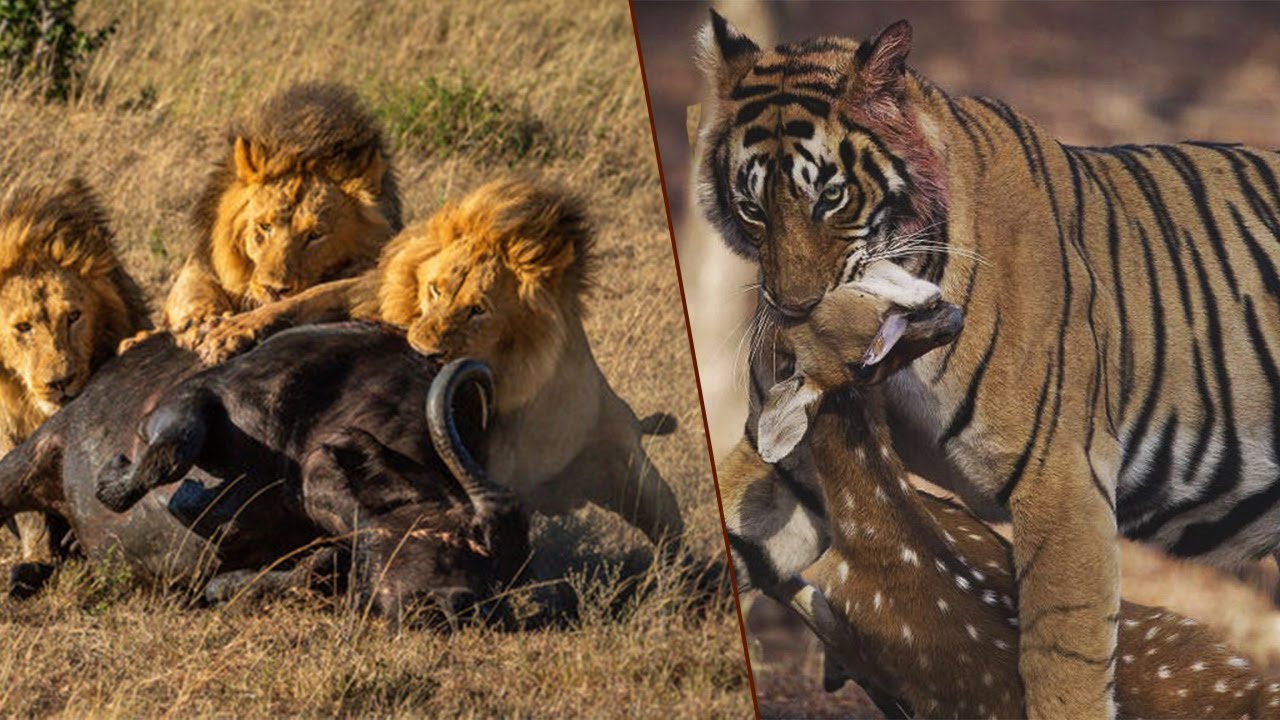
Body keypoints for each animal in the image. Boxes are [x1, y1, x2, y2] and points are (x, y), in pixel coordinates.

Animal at [157, 82, 401, 345]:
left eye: (315, 235)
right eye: (265, 226)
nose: (274, 290)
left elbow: (316, 293)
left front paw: (235, 329)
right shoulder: (201, 260)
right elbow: (194, 288)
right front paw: (199, 322)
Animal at [197, 178, 685, 552]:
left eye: (478, 311)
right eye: (435, 289)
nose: (425, 351)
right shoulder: (367, 292)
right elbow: (309, 296)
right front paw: (228, 332)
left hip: (631, 471)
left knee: (669, 522)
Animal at [696, 10, 1280, 718]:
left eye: (830, 198)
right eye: (752, 207)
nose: (789, 310)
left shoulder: (1064, 489)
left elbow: (1064, 675)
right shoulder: (793, 455)